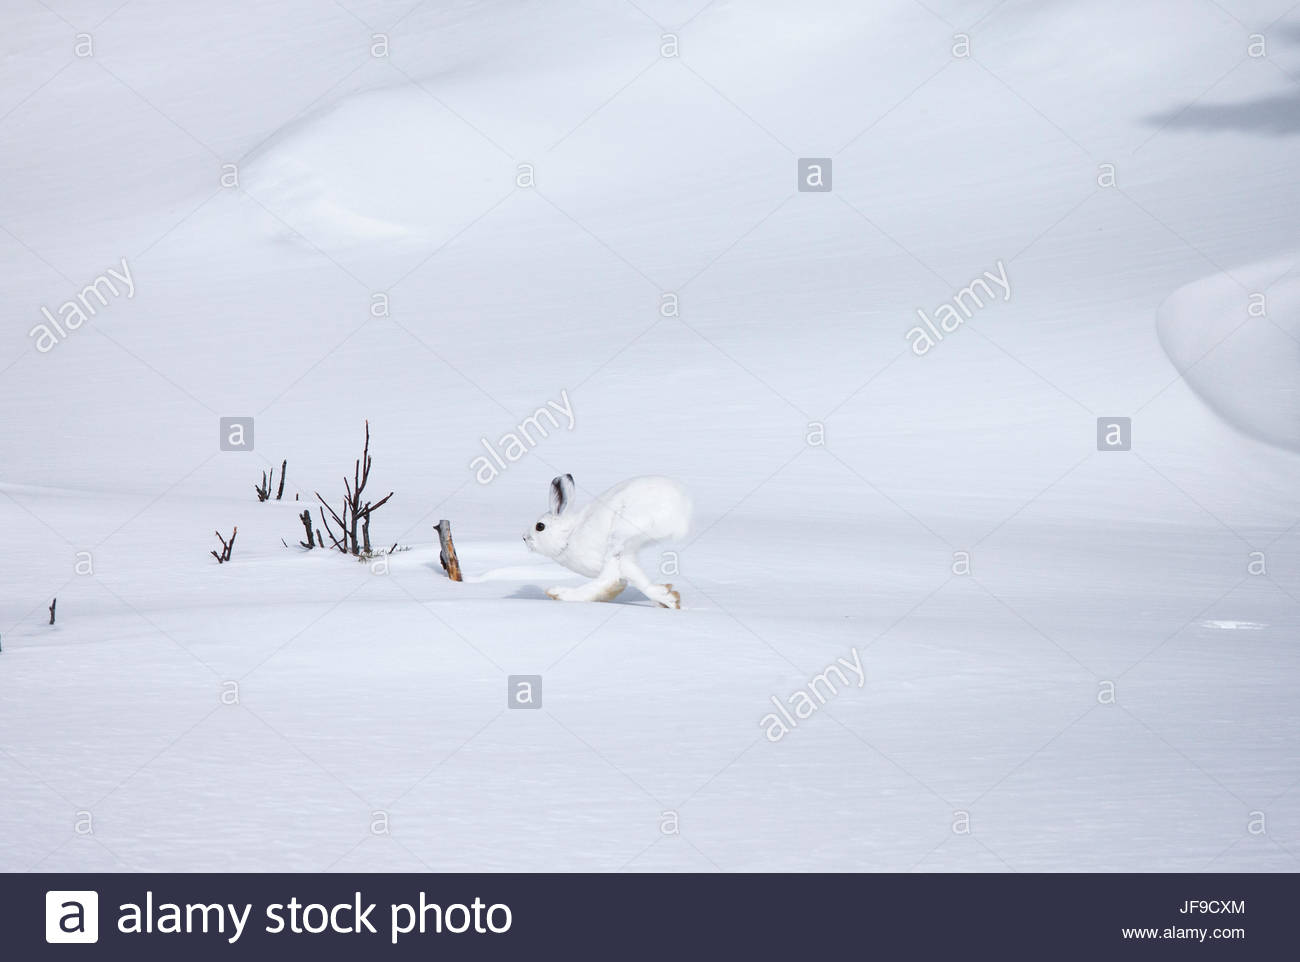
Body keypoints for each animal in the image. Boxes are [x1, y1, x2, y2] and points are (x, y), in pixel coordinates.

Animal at [523, 474, 691, 608]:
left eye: (540, 526)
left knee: (608, 577)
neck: (569, 534)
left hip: (621, 534)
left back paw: (559, 593)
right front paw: (668, 598)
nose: (524, 538)